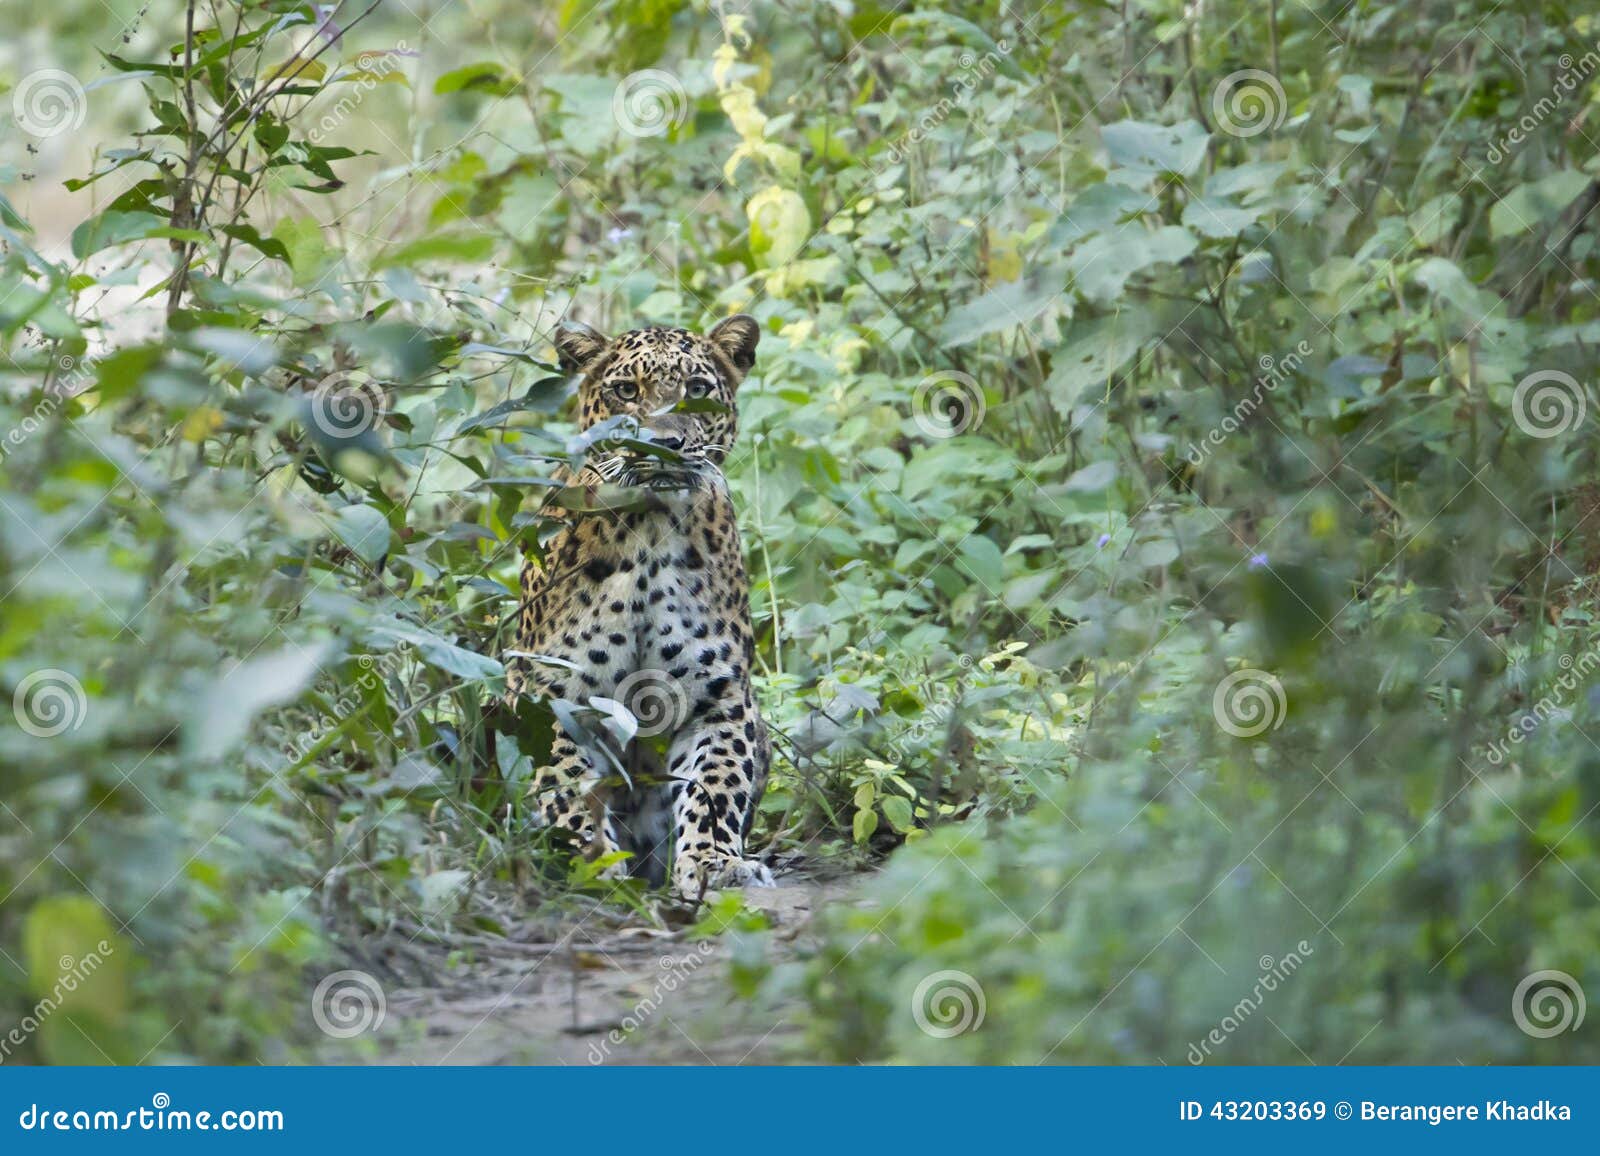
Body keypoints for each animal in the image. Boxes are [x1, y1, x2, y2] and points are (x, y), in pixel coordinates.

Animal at [502, 314, 775, 897]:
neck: (650, 528)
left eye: (698, 389)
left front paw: (716, 863)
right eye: (626, 391)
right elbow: (566, 787)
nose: (664, 443)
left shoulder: (719, 696)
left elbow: (716, 783)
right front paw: (595, 862)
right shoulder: (554, 694)